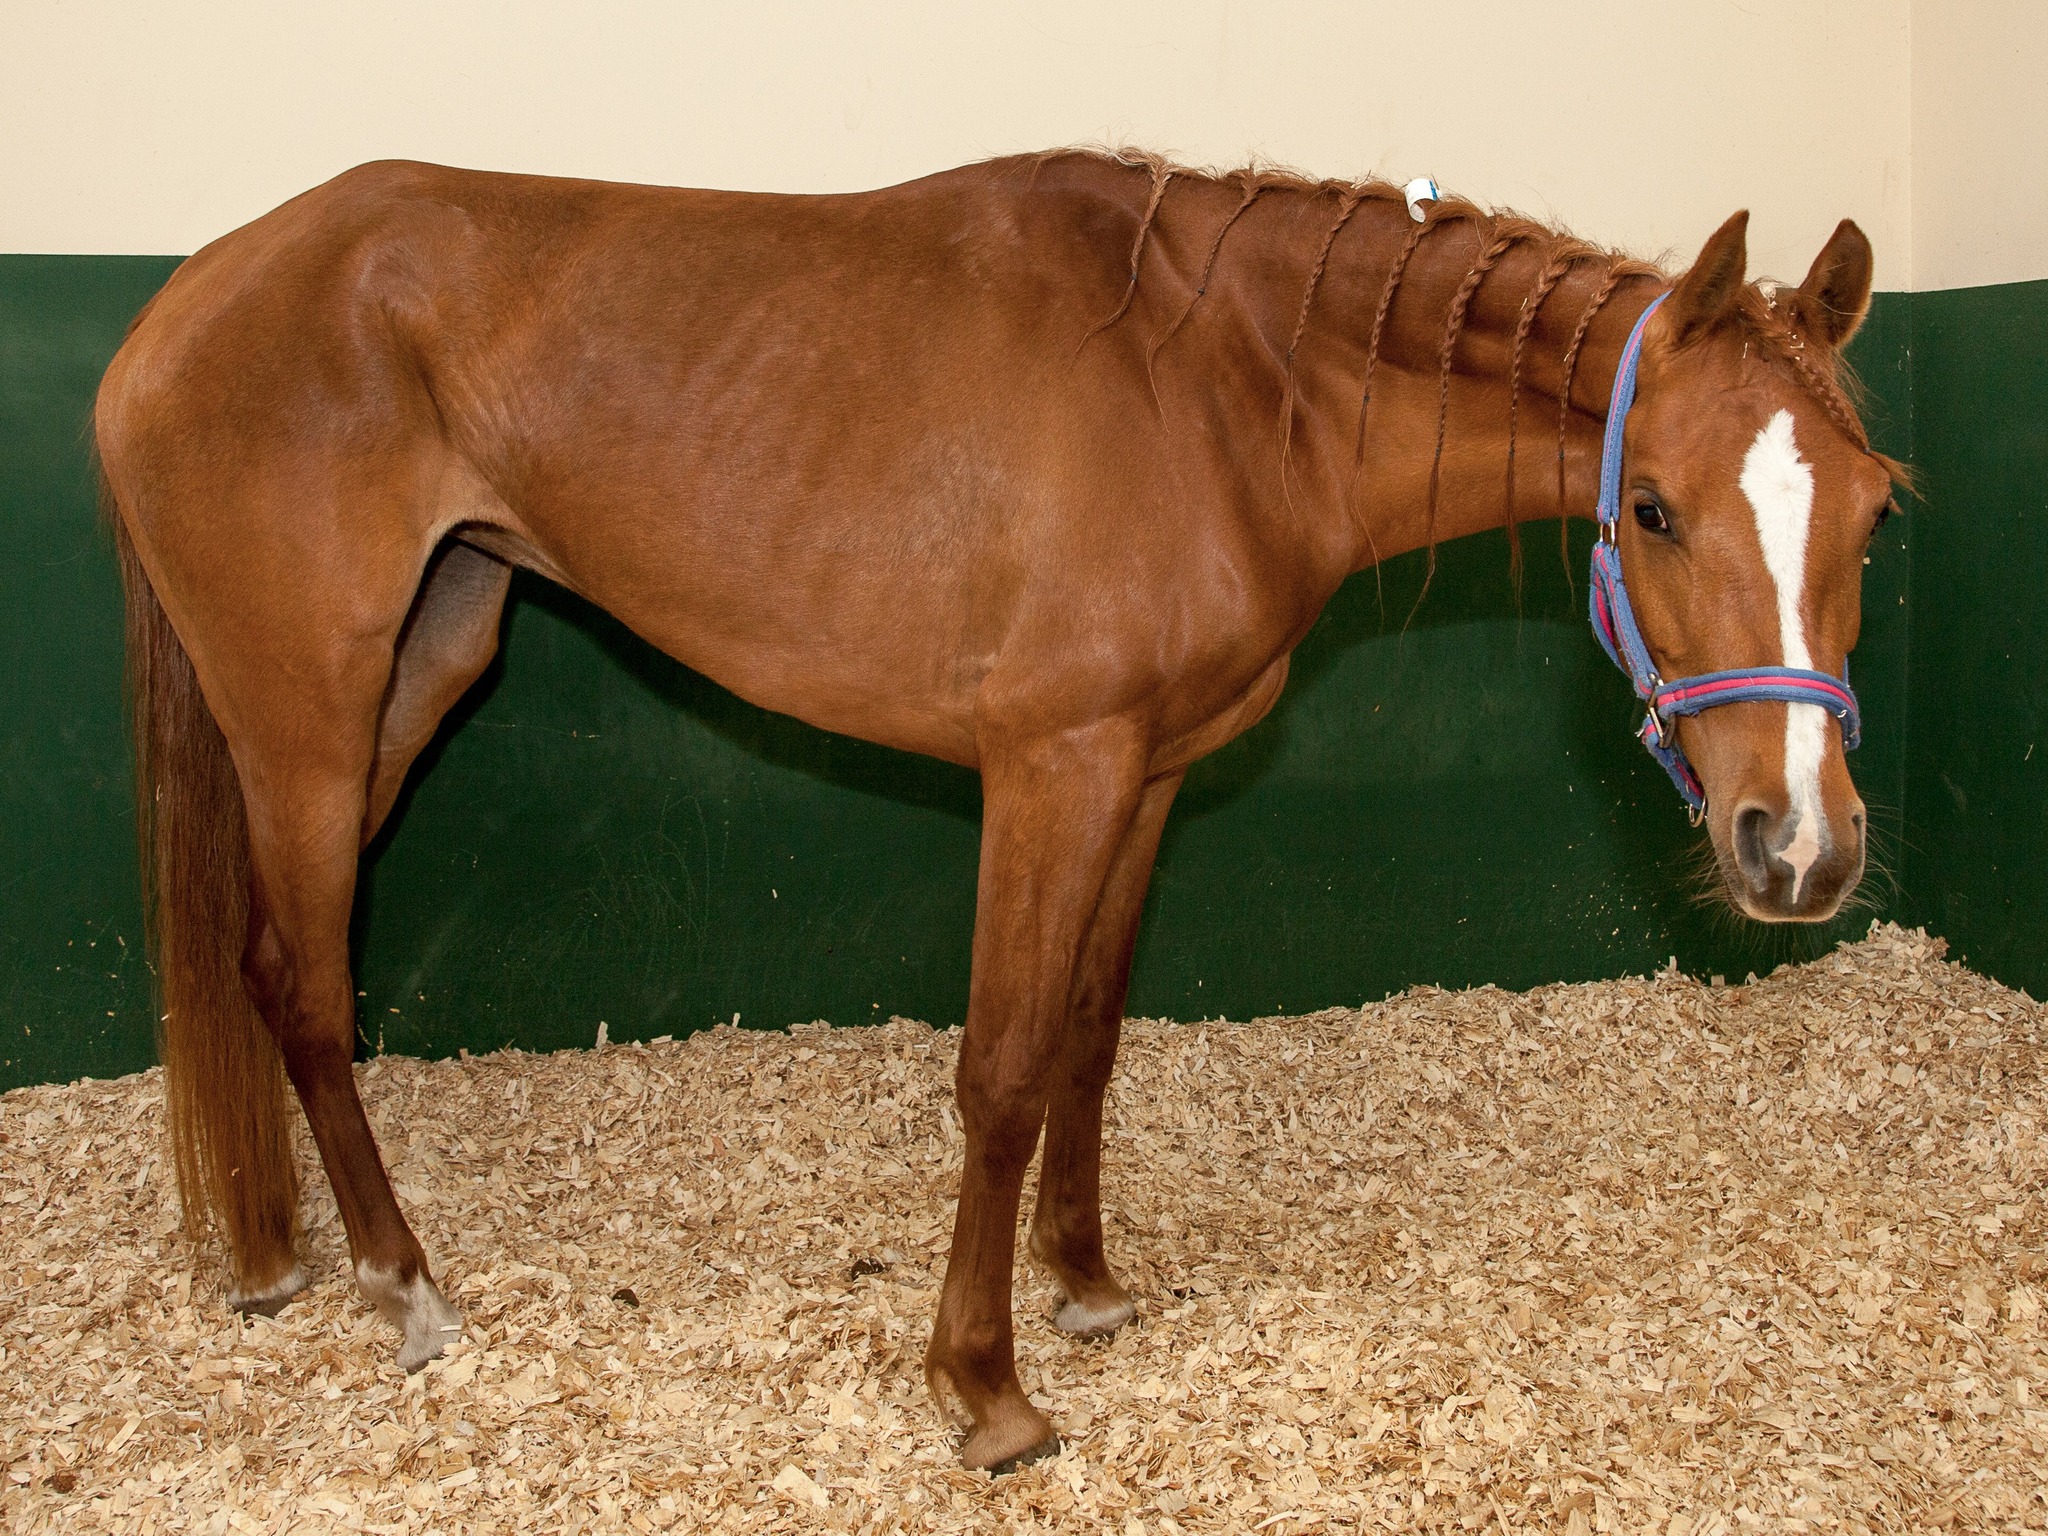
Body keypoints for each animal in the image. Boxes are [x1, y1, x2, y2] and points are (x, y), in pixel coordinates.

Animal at [94, 149, 1900, 1471]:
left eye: (1873, 511)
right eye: (1651, 508)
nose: (1798, 848)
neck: (1222, 386)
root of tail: (178, 306)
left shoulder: (1146, 777)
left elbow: (1088, 1037)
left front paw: (1084, 1283)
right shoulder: (1053, 768)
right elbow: (1004, 1068)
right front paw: (986, 1384)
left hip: (421, 668)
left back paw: (286, 1255)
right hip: (312, 721)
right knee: (301, 984)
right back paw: (402, 1286)